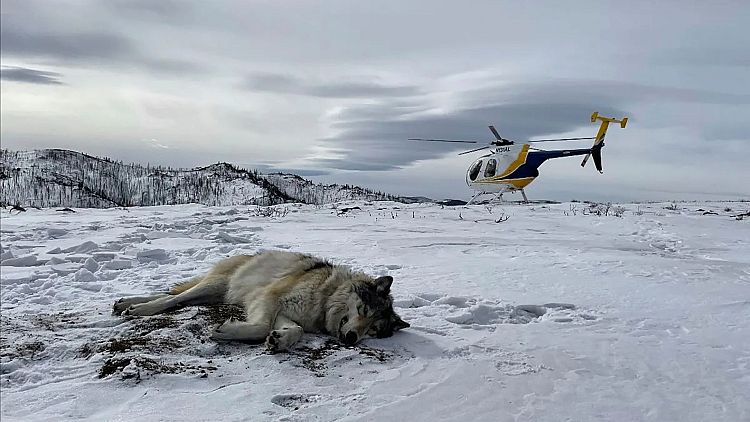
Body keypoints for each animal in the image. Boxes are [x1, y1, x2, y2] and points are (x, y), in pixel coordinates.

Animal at [112, 251, 409, 352]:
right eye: (363, 310)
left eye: (373, 330)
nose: (351, 338)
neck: (325, 296)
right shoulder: (268, 298)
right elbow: (262, 326)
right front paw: (226, 331)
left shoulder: (286, 313)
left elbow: (295, 330)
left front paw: (279, 340)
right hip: (217, 284)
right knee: (174, 297)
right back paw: (139, 308)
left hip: (214, 292)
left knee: (173, 296)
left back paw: (125, 303)